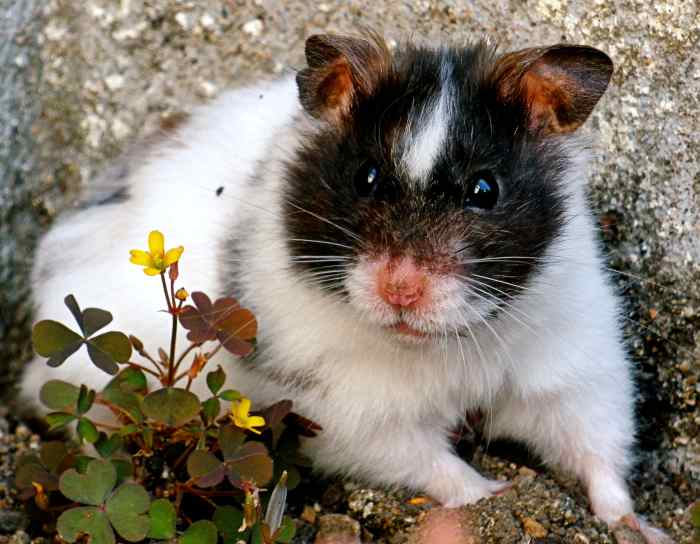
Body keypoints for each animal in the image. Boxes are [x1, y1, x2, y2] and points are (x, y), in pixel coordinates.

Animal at [21, 34, 670, 542]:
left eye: (484, 190)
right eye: (367, 178)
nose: (401, 290)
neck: (446, 344)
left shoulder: (576, 368)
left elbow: (598, 454)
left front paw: (637, 527)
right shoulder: (351, 413)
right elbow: (432, 462)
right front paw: (495, 495)